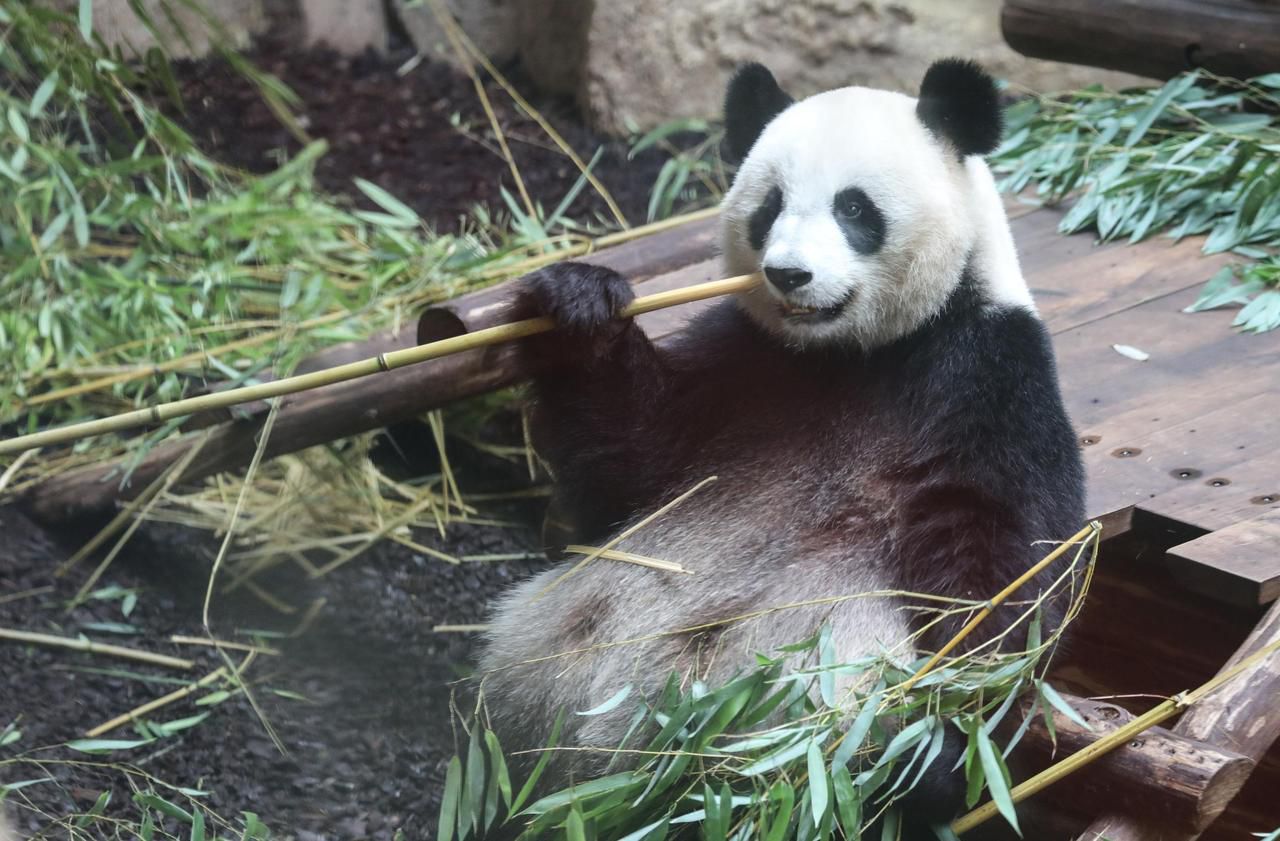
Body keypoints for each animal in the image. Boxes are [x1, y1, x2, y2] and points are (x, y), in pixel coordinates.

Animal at [478, 58, 1085, 832]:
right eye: (770, 205)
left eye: (854, 208)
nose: (789, 273)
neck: (850, 354)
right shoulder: (745, 361)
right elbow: (628, 466)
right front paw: (581, 305)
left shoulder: (985, 378)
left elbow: (998, 566)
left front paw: (938, 749)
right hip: (532, 673)